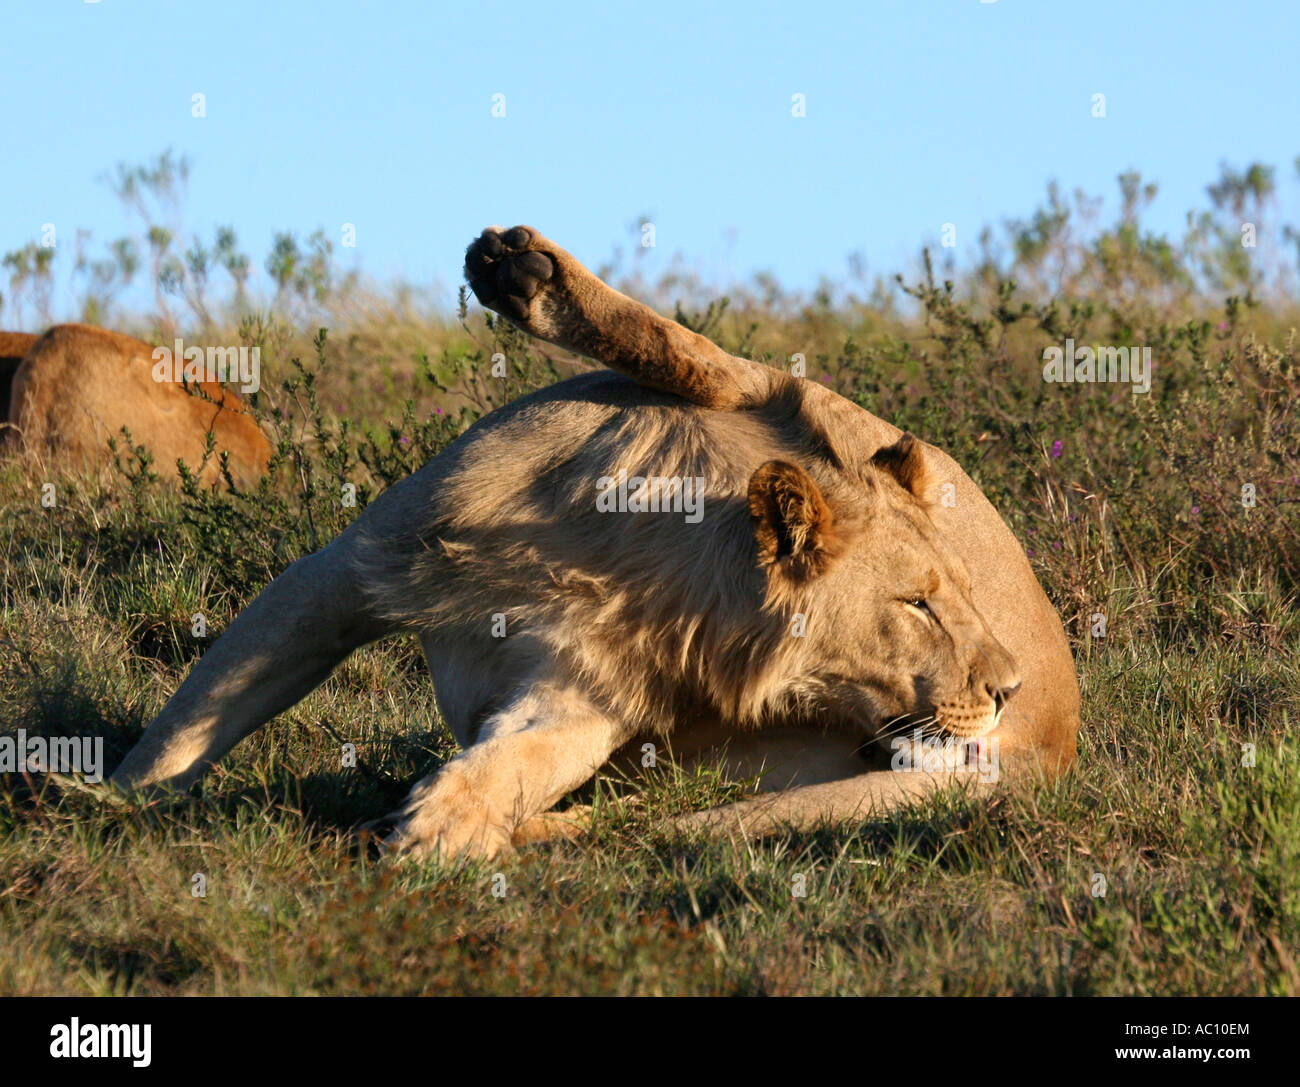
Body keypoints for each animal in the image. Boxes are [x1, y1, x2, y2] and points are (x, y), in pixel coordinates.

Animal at [109, 226, 1081, 859]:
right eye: (917, 603)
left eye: (951, 595)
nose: (1003, 687)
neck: (651, 571)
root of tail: (1057, 738)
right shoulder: (350, 568)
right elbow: (199, 710)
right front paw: (110, 800)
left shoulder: (587, 695)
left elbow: (521, 757)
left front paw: (448, 825)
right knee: (742, 378)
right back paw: (521, 271)